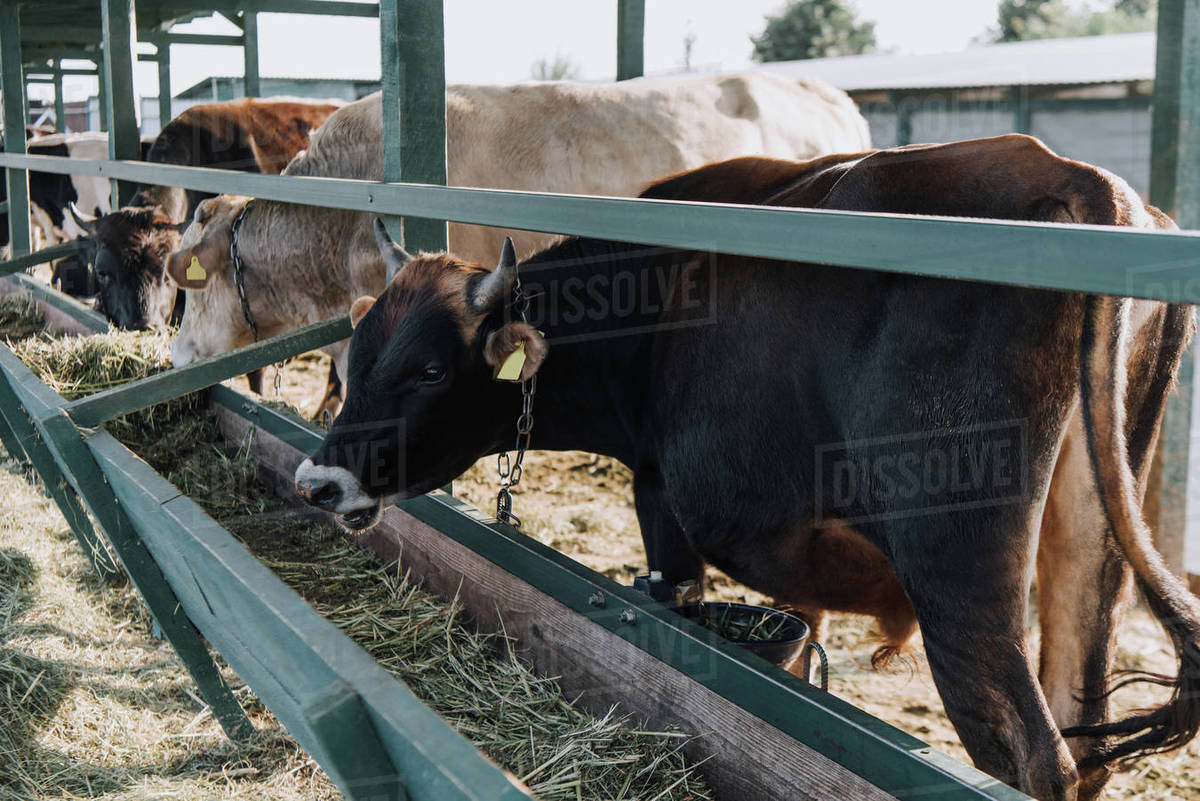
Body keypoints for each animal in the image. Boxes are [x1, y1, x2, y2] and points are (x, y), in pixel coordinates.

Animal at [292, 135, 1200, 801]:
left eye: (430, 370)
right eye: (358, 353)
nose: (317, 482)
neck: (649, 299)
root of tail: (1069, 173)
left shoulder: (660, 499)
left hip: (959, 568)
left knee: (1031, 752)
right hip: (1090, 541)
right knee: (1084, 732)